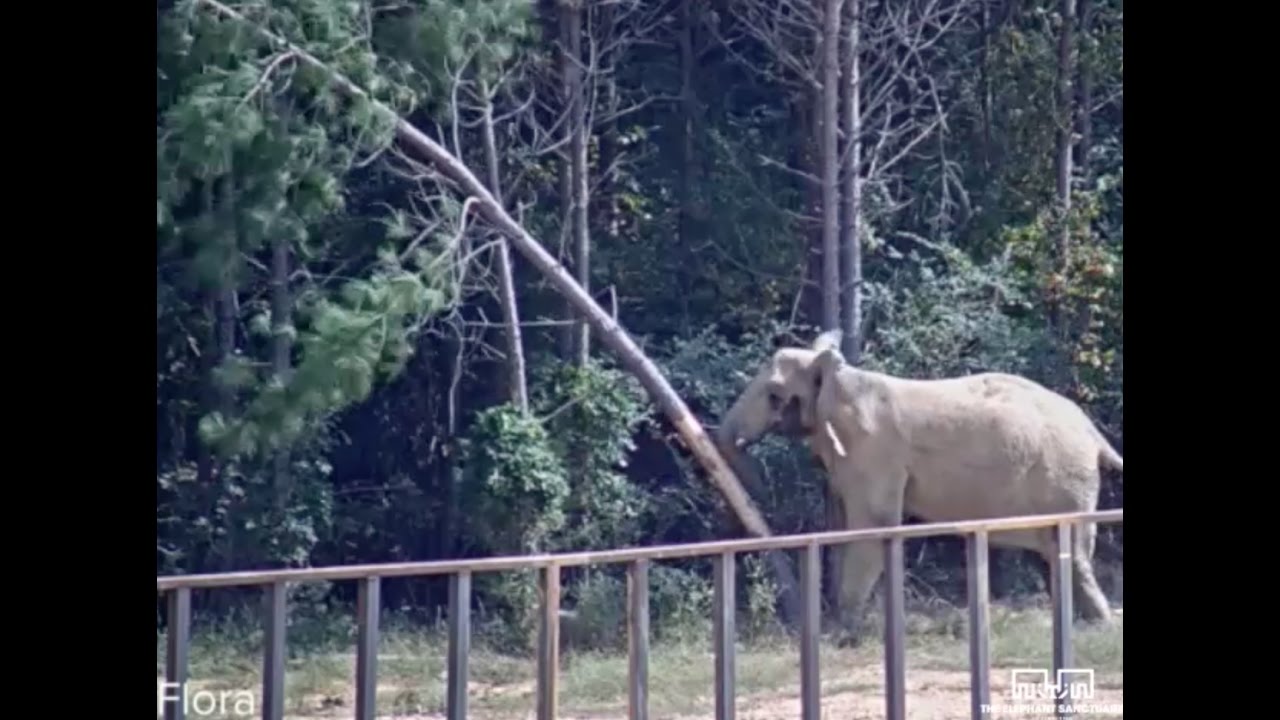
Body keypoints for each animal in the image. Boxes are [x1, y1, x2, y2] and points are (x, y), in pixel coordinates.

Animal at [715, 329, 1123, 644]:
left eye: (773, 394)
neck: (842, 374)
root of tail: (1092, 431)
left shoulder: (875, 451)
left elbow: (872, 527)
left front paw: (838, 639)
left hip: (1064, 478)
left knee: (1072, 553)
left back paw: (1099, 628)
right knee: (1051, 555)